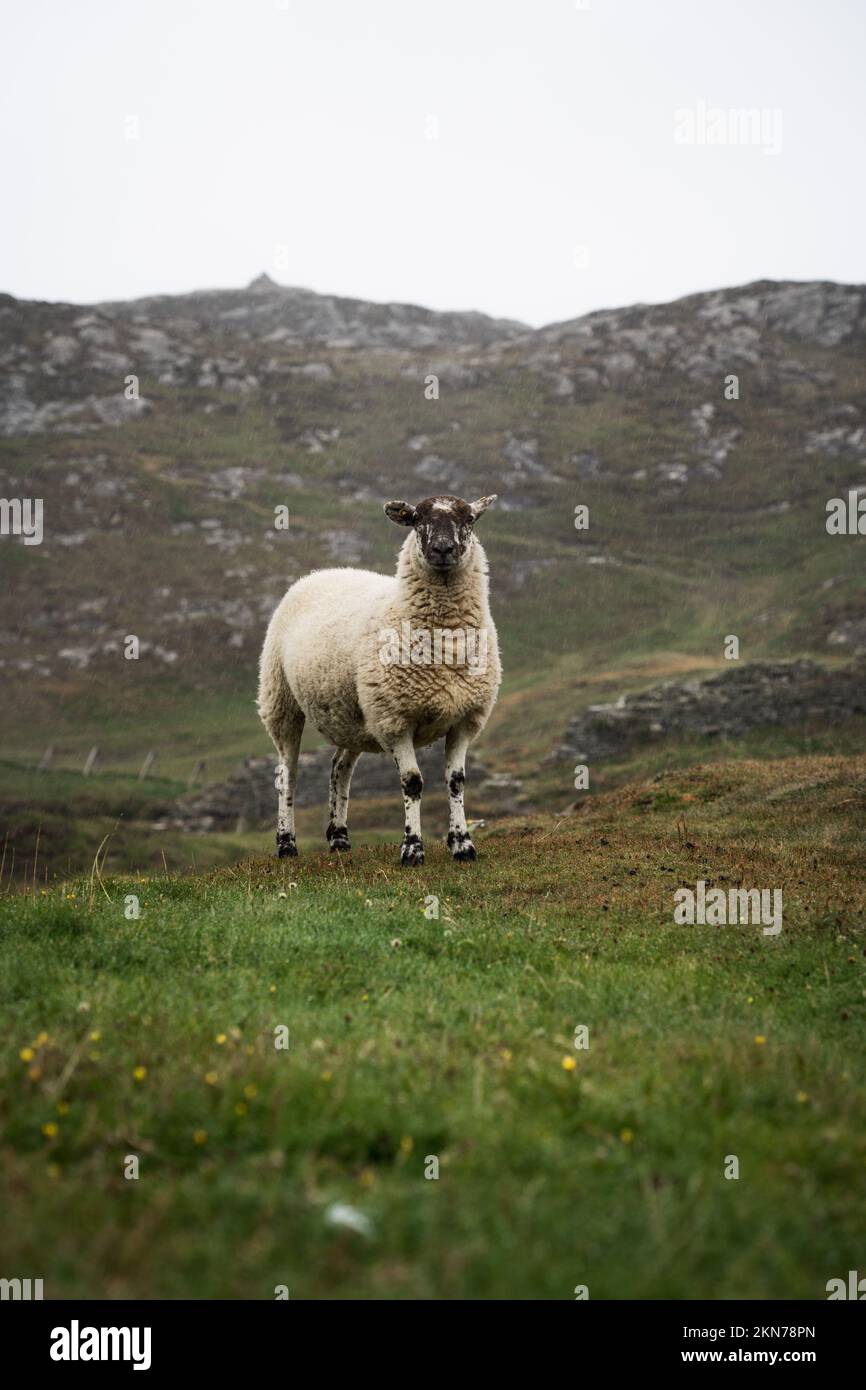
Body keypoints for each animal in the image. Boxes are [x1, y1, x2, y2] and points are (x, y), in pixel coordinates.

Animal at [257, 493, 501, 866]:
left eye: (469, 520)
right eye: (416, 520)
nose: (443, 549)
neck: (444, 645)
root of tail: (322, 572)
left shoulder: (466, 718)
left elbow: (456, 782)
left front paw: (462, 844)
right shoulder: (394, 719)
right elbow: (412, 783)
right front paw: (412, 849)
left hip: (351, 714)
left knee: (340, 768)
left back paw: (339, 837)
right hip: (280, 699)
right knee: (288, 775)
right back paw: (286, 844)